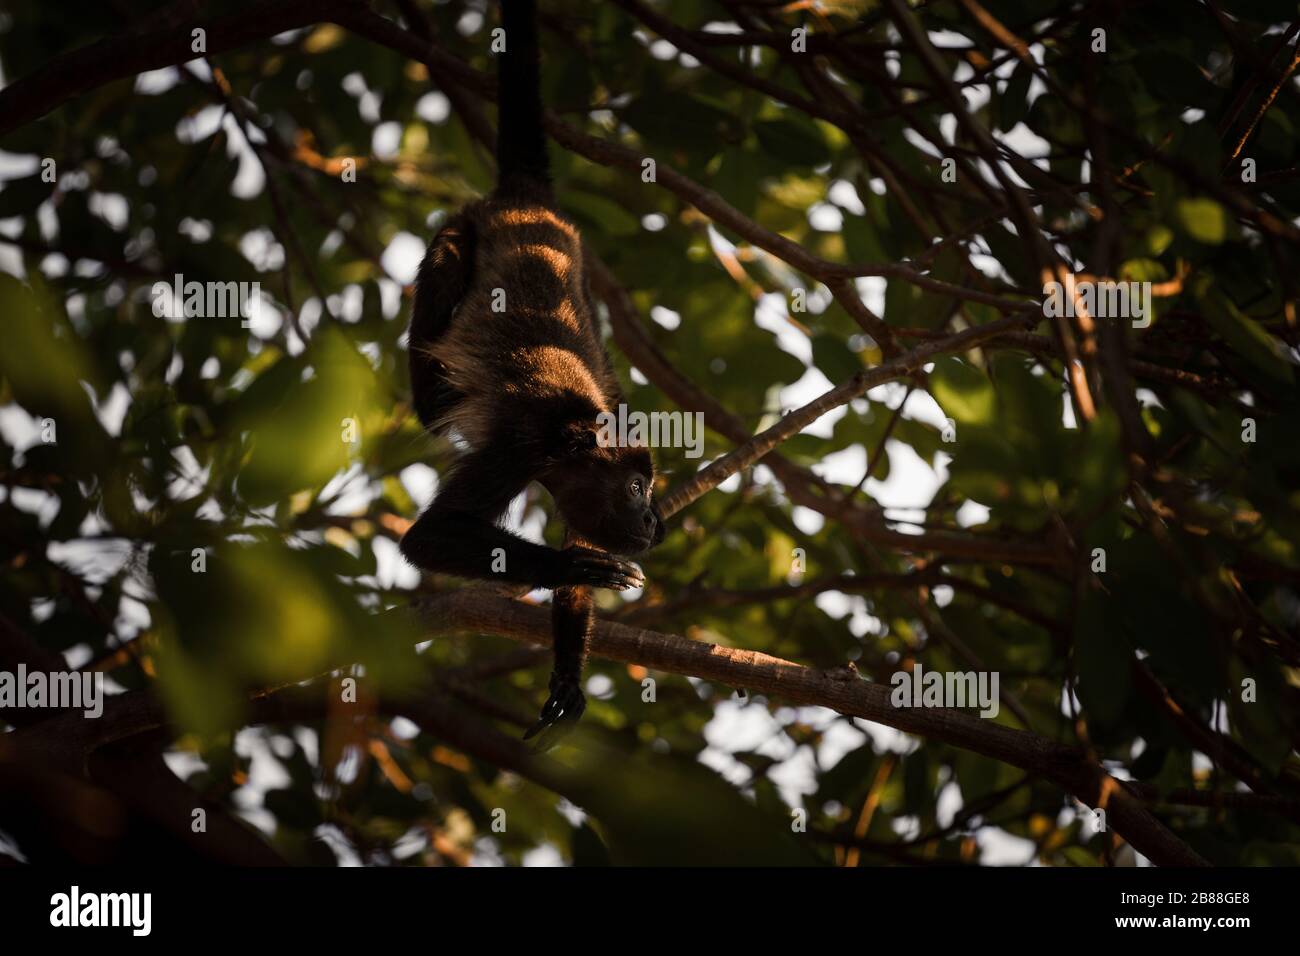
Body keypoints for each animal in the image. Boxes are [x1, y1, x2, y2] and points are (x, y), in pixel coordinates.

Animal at [399, 0, 664, 746]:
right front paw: (576, 564)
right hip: (461, 231)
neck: (574, 437)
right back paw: (435, 393)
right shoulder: (524, 443)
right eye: (637, 487)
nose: (653, 521)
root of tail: (528, 200)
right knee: (446, 280)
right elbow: (429, 537)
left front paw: (568, 673)